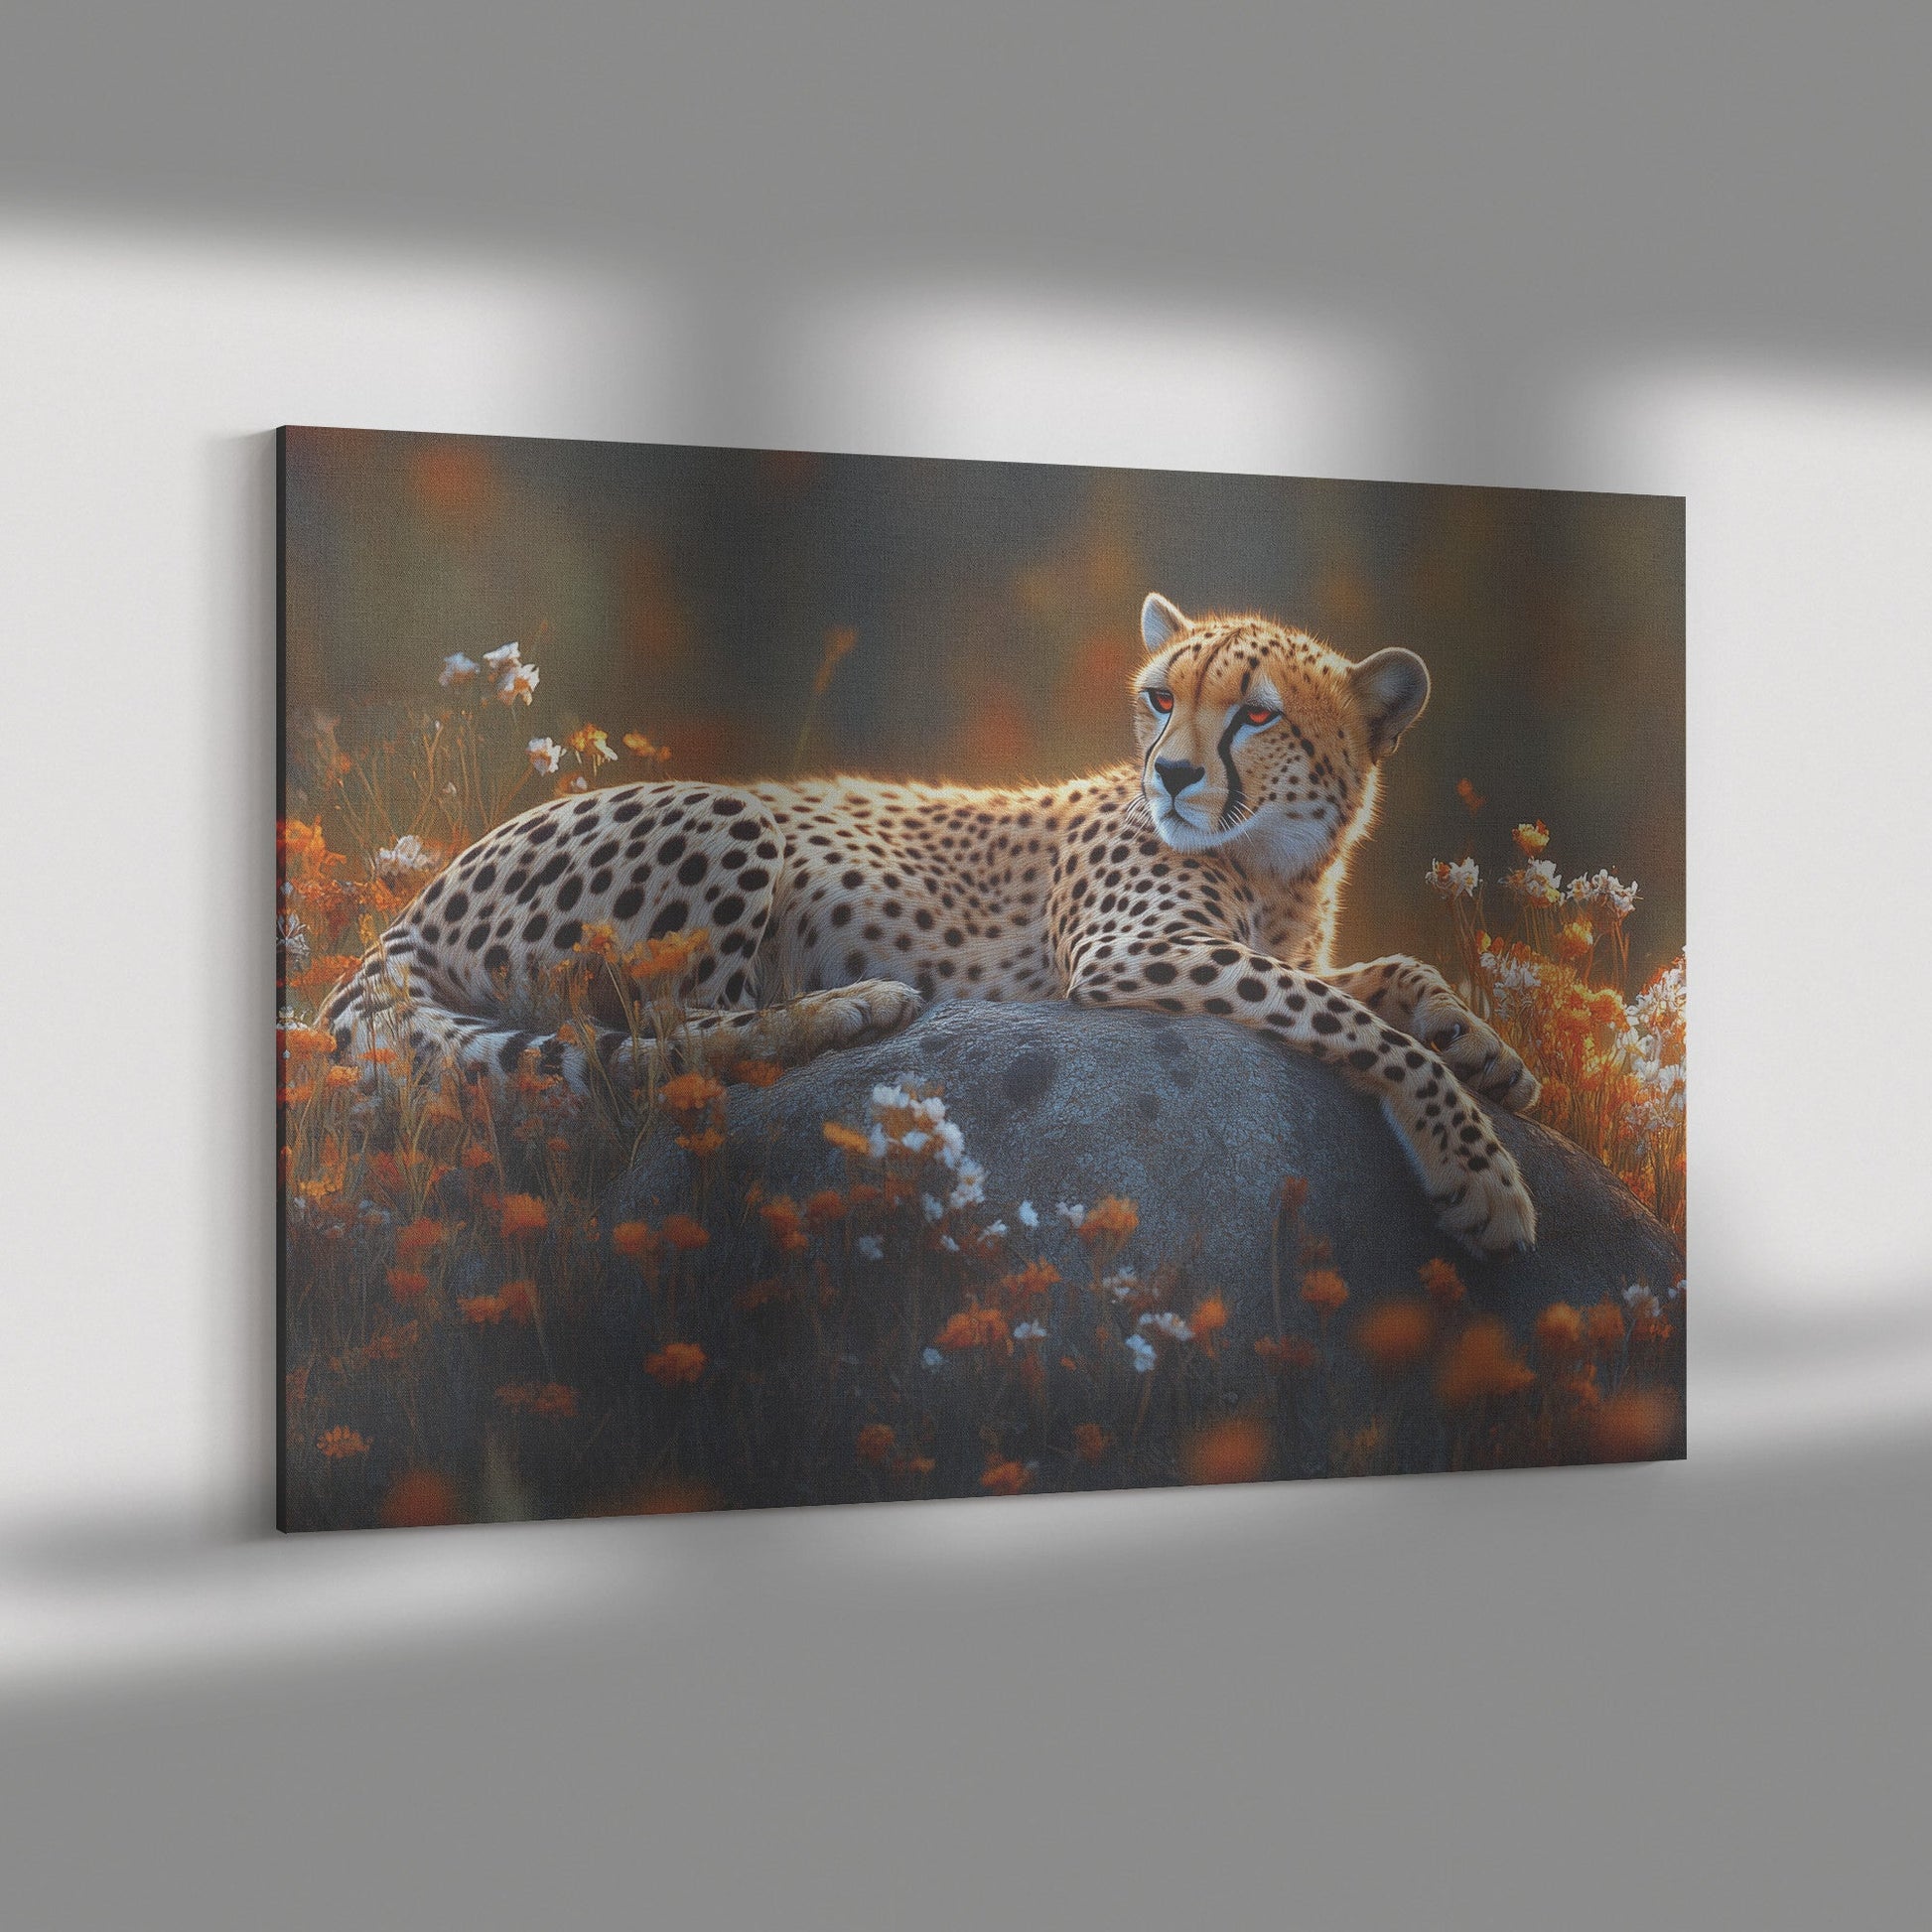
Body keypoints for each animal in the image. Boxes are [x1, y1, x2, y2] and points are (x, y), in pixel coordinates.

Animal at [319, 593, 1539, 1251]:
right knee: (670, 1043)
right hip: (729, 814)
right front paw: (1476, 1169)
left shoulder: (1253, 946)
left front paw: (1489, 1050)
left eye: (1257, 715)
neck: (1279, 863)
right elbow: (1356, 1025)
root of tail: (415, 895)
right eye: (1160, 698)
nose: (1174, 775)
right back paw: (847, 1004)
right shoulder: (1134, 949)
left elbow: (1382, 977)